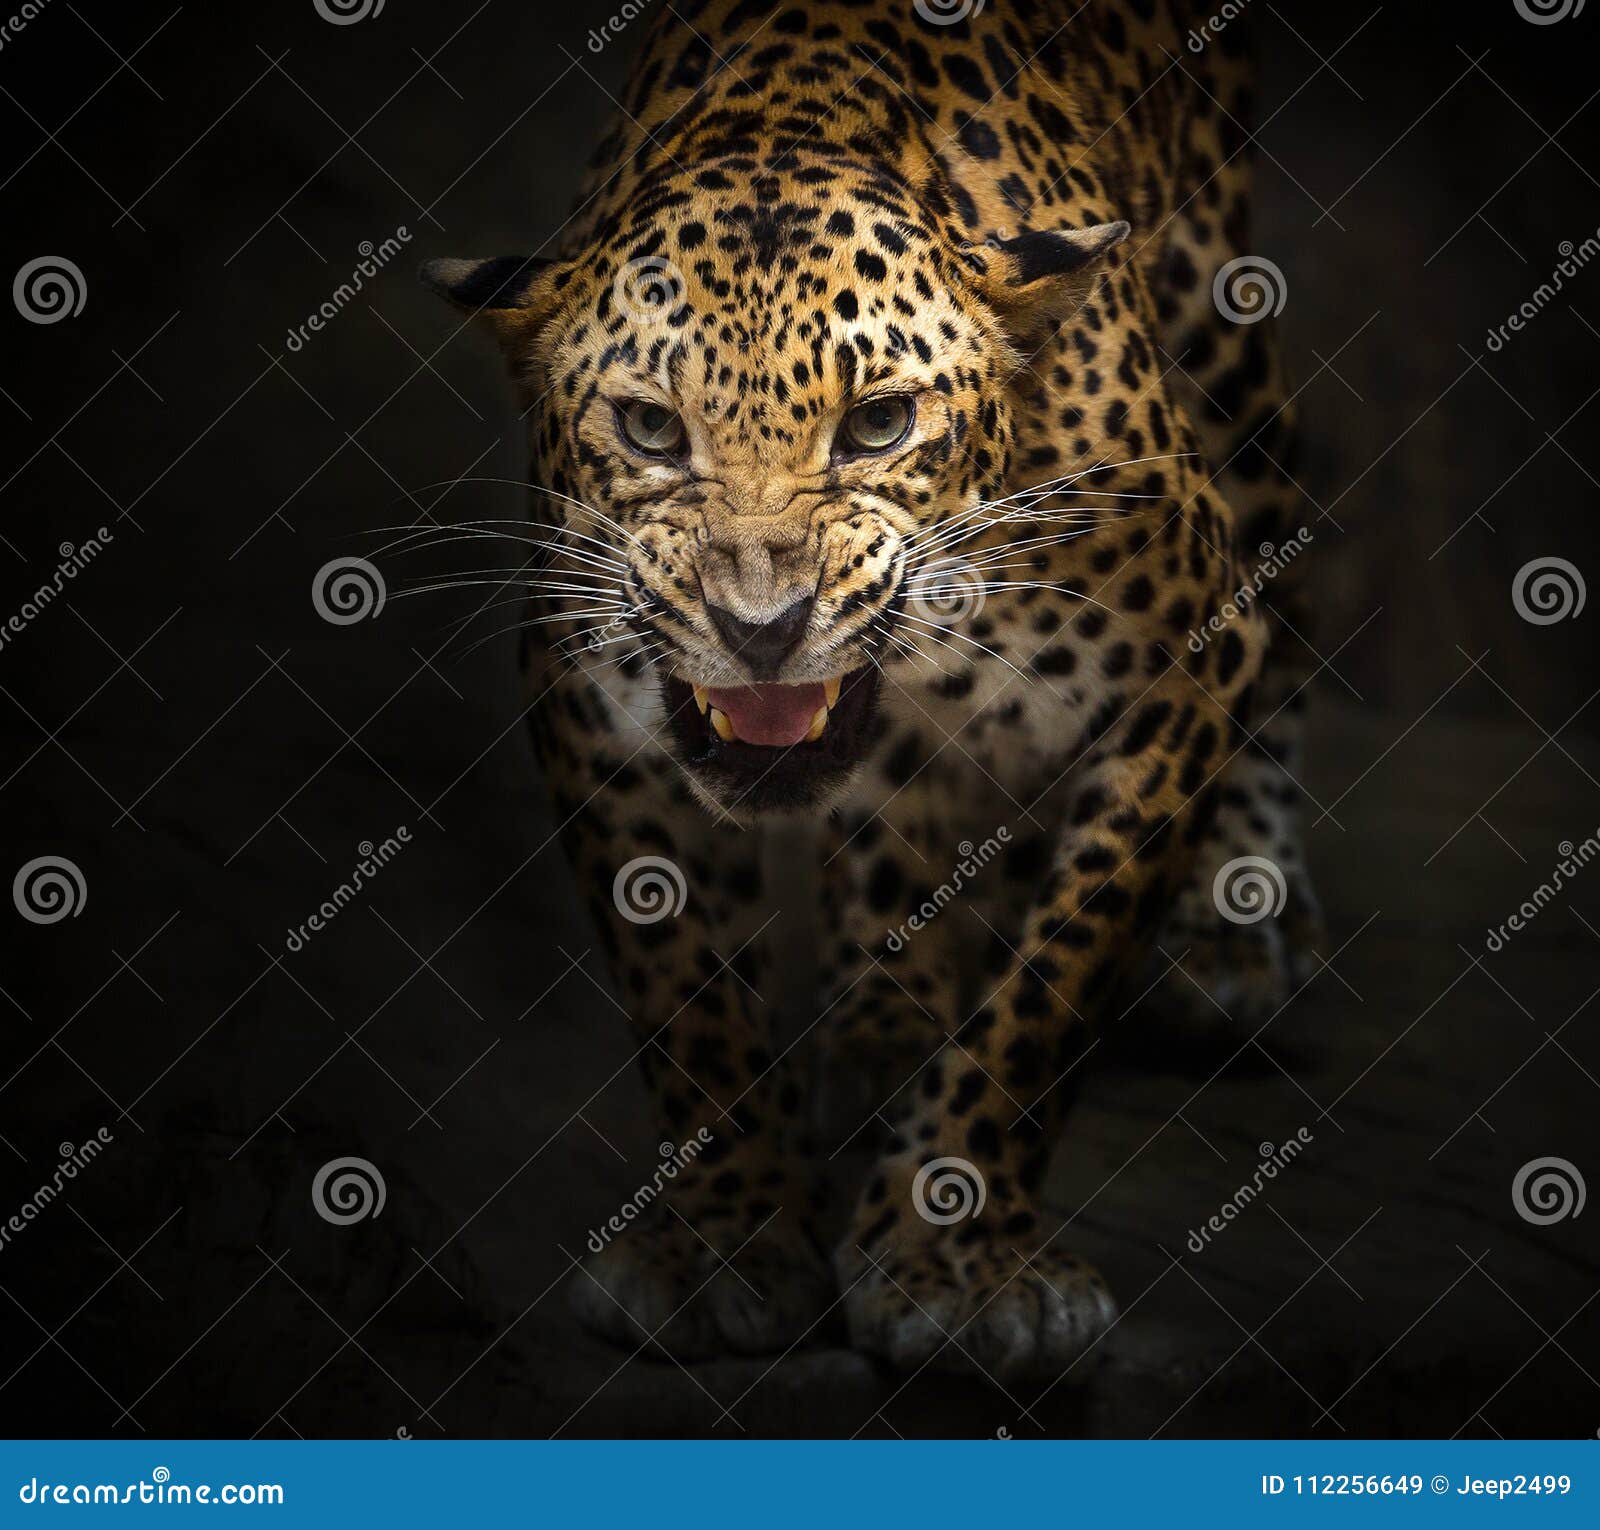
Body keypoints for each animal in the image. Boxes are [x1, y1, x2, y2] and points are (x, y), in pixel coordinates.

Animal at [418, 0, 1324, 1382]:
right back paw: (884, 1030)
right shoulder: (591, 695)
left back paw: (1235, 930)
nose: (761, 628)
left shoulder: (1184, 647)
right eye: (648, 429)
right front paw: (725, 1239)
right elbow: (683, 987)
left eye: (881, 424)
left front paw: (958, 1256)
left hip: (1225, 335)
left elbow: (1050, 990)